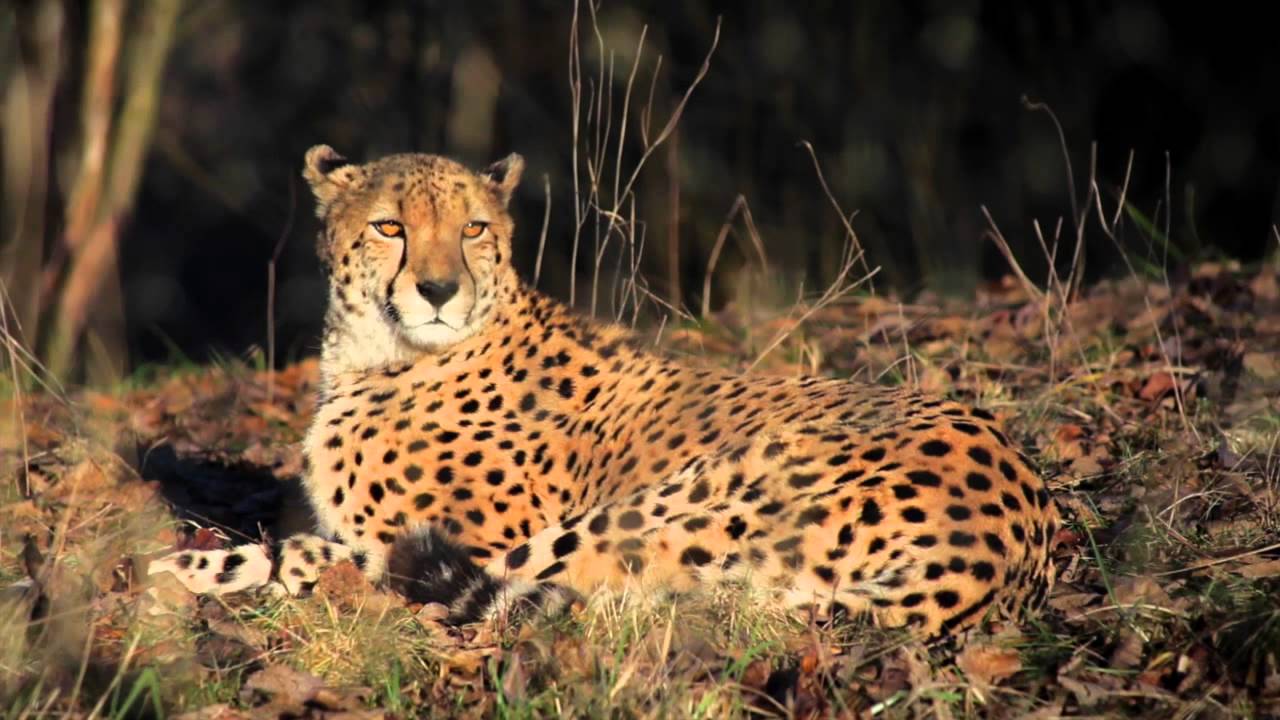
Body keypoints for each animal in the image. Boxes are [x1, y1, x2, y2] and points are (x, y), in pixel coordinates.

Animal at [150, 144, 1060, 637]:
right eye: (389, 227)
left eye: (473, 229)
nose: (440, 291)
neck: (382, 353)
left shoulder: (480, 534)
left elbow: (344, 552)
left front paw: (211, 566)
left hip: (654, 513)